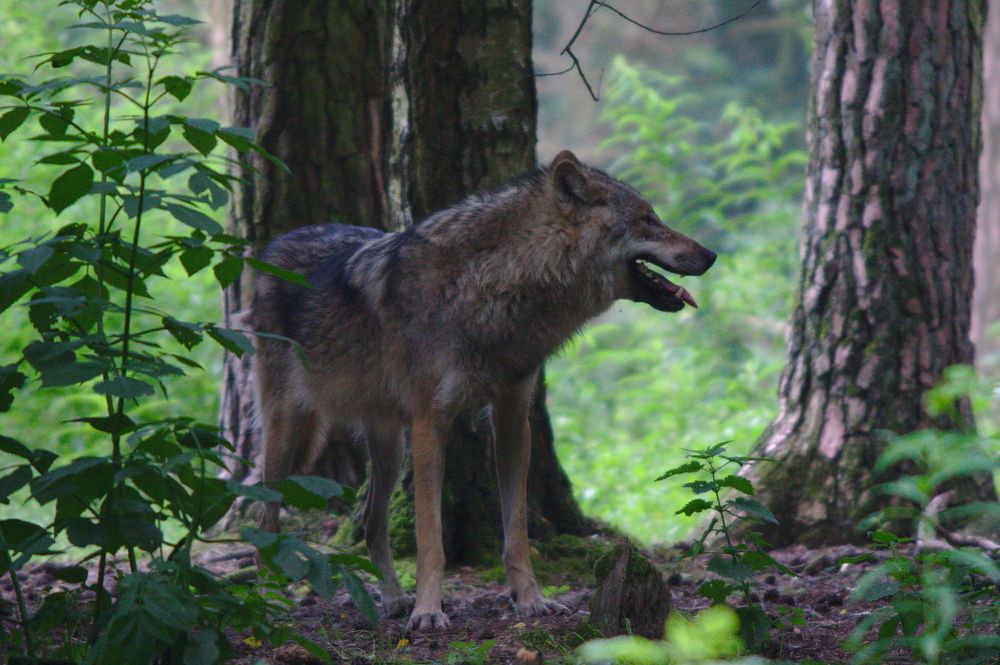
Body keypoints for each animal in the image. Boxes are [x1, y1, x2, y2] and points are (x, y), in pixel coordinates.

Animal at [245, 150, 716, 630]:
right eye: (648, 219)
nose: (711, 254)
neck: (496, 283)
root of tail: (275, 245)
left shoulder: (512, 418)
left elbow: (517, 532)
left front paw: (529, 599)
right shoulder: (430, 423)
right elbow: (431, 541)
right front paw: (429, 611)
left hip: (389, 447)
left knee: (373, 526)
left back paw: (392, 600)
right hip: (288, 433)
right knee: (267, 519)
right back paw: (265, 601)